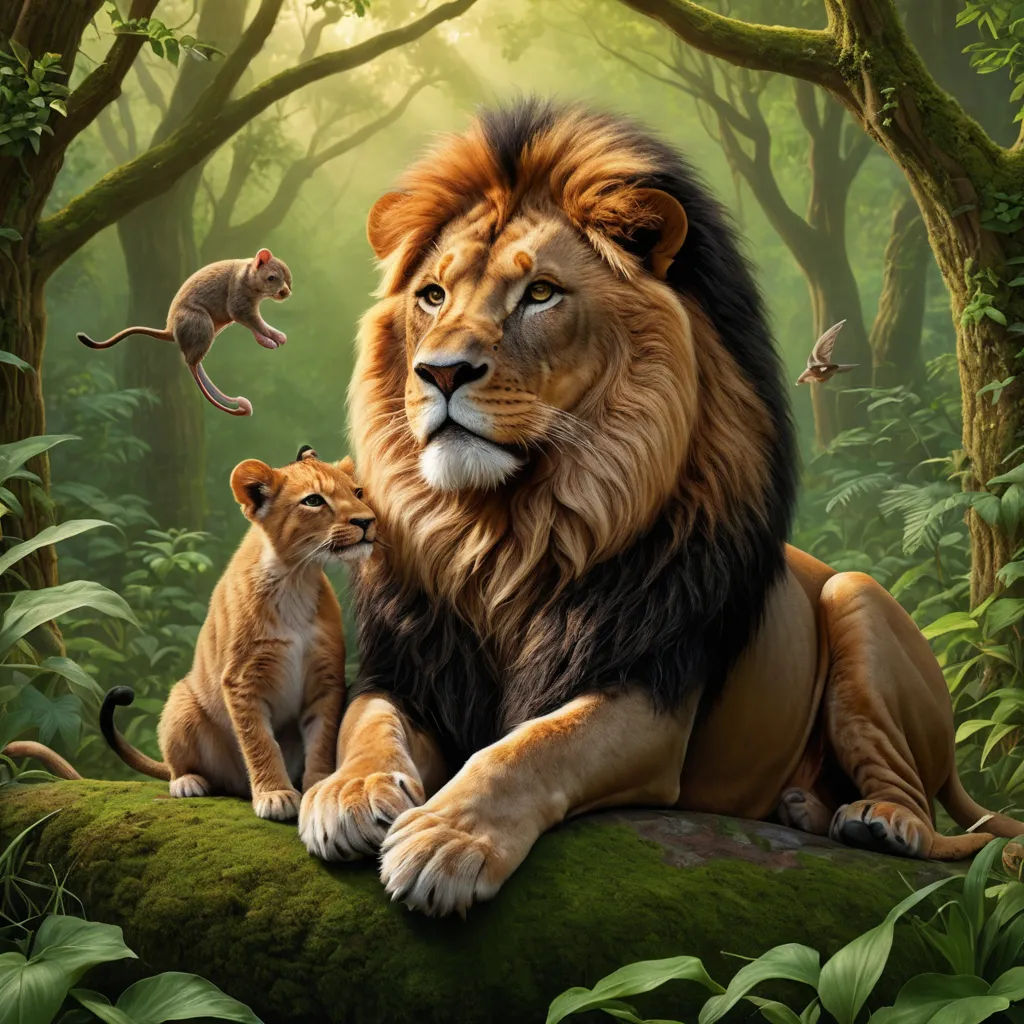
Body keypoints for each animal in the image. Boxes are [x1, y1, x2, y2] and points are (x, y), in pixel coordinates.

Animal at [298, 99, 1023, 916]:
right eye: (432, 296)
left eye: (541, 293)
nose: (440, 372)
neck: (507, 529)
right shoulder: (409, 669)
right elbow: (367, 725)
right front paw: (346, 793)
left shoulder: (648, 694)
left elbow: (528, 748)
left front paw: (446, 840)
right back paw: (805, 806)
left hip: (856, 597)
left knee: (930, 817)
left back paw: (876, 821)